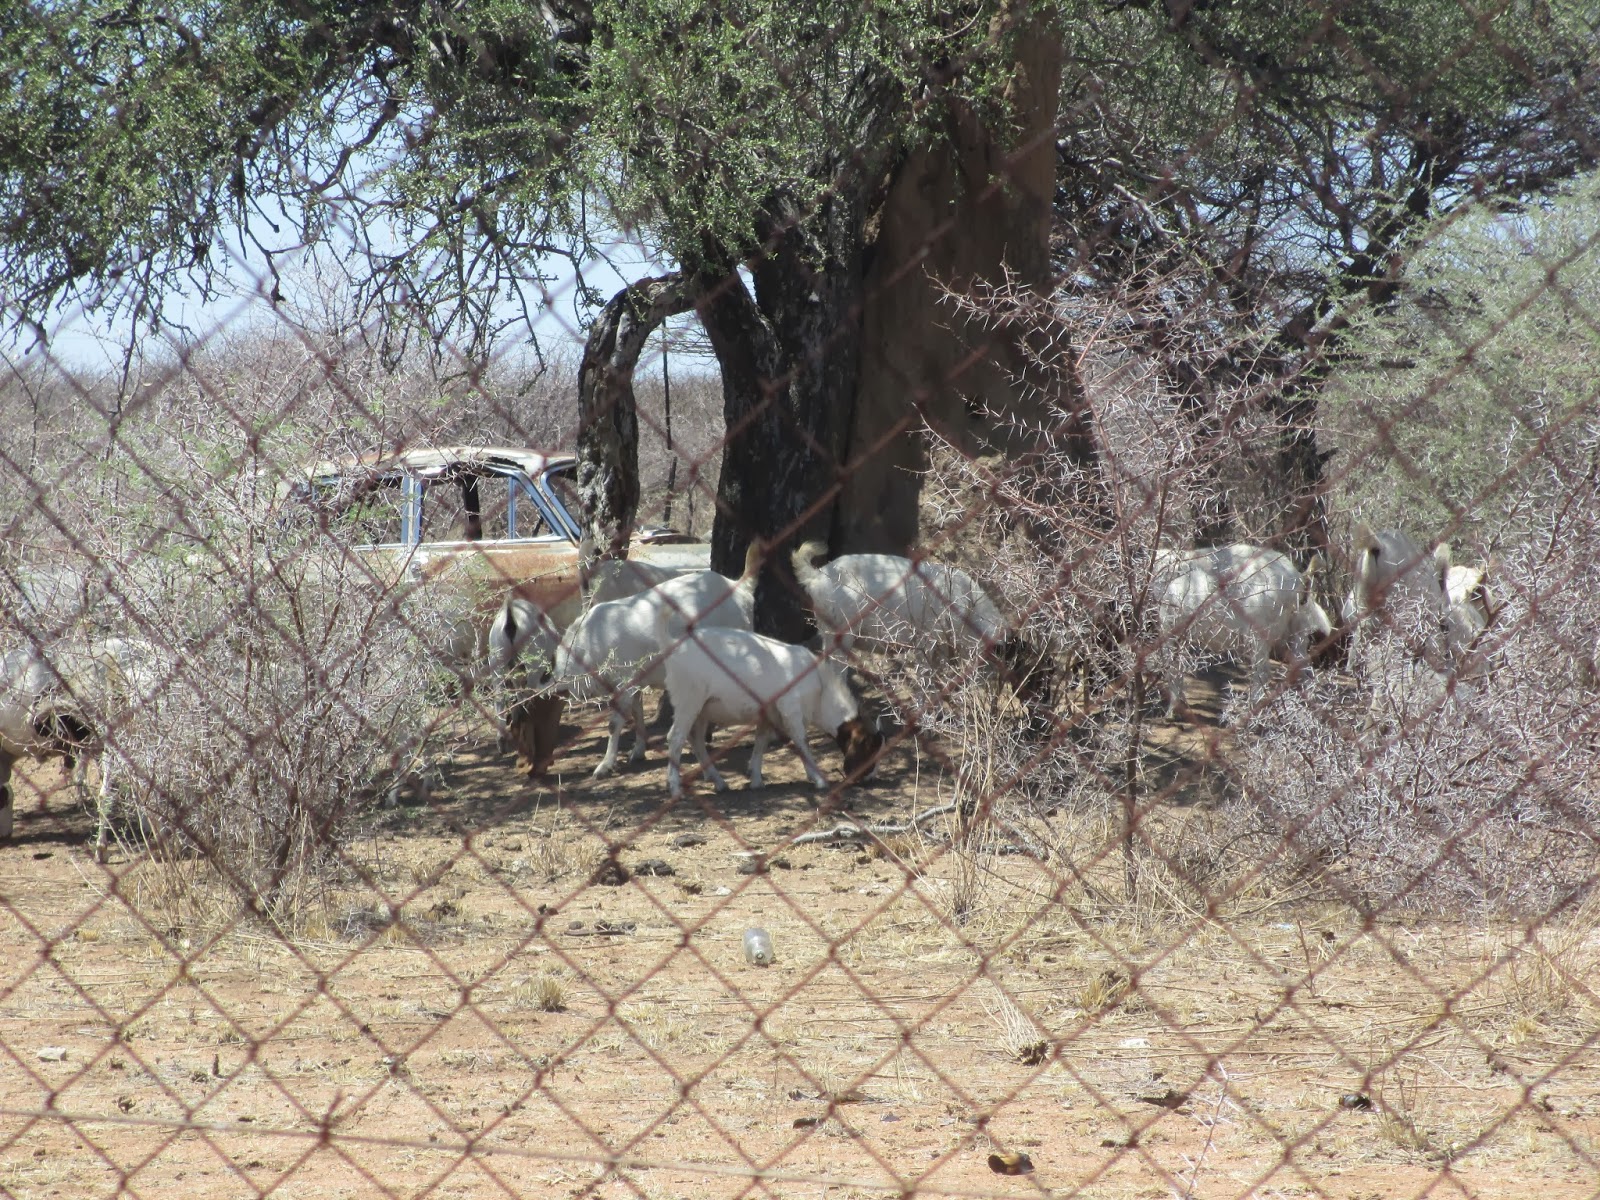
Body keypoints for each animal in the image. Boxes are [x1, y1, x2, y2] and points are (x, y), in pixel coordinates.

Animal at [505, 543, 763, 777]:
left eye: (528, 725)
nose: (524, 768)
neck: (590, 640)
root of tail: (739, 588)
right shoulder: (636, 681)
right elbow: (637, 713)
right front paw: (638, 751)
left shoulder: (624, 682)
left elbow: (614, 723)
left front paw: (604, 766)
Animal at [660, 625, 882, 799]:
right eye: (869, 748)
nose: (869, 779)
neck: (821, 688)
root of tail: (674, 645)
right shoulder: (790, 708)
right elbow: (801, 741)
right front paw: (818, 779)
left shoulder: (767, 714)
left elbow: (761, 742)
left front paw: (757, 780)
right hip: (688, 699)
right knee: (676, 738)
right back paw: (676, 789)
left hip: (702, 709)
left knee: (695, 738)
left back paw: (719, 782)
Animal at [1157, 545, 1333, 717]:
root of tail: (1298, 580)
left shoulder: (1168, 629)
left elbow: (1172, 668)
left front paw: (1173, 711)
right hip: (1296, 635)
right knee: (1305, 672)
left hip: (1260, 635)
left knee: (1262, 673)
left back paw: (1252, 712)